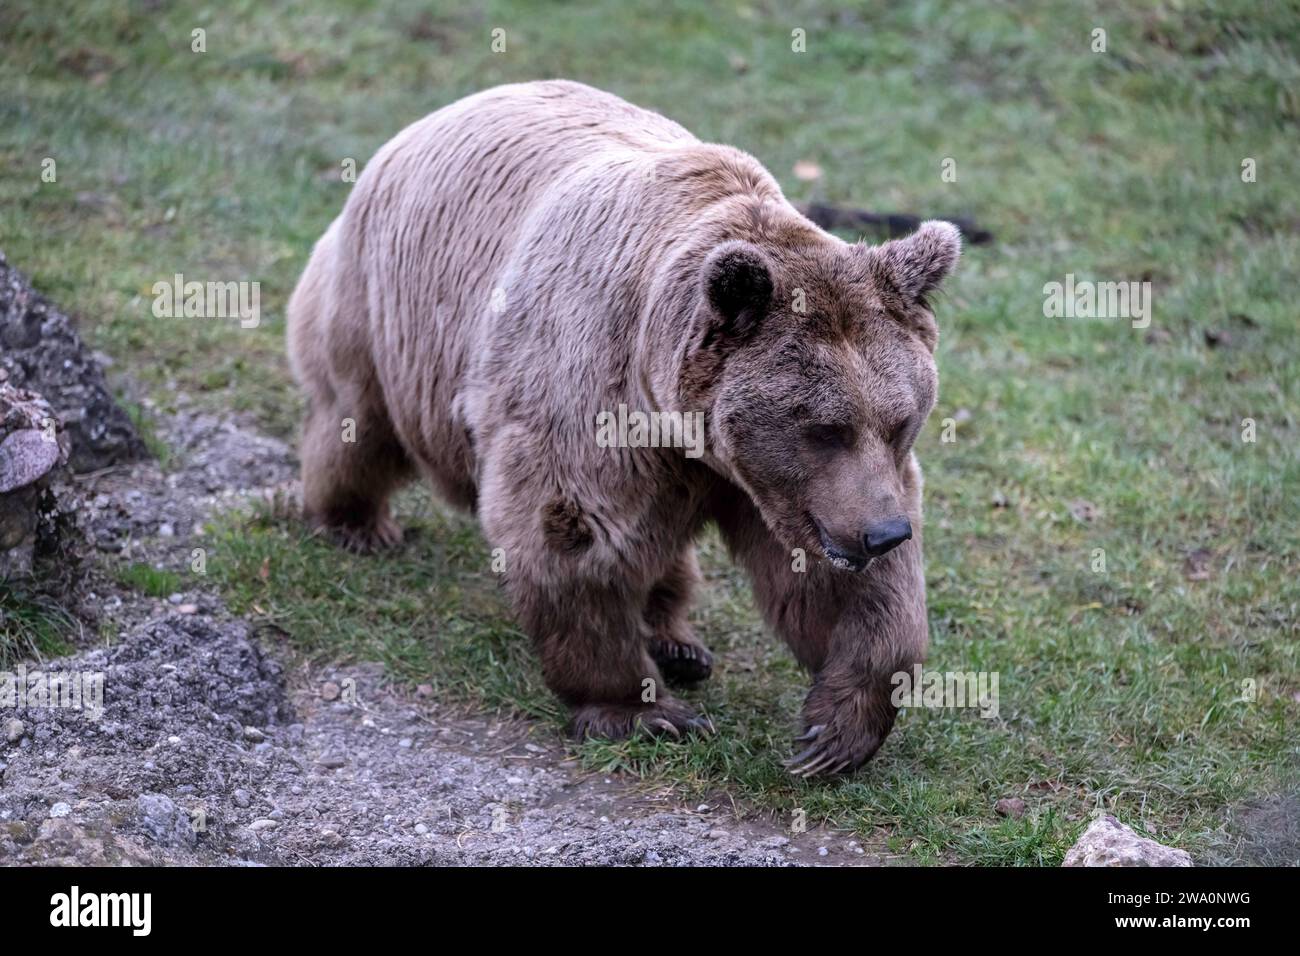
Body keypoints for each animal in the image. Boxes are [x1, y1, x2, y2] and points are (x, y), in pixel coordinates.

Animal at [286, 80, 960, 776]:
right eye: (825, 427)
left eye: (900, 421)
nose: (882, 532)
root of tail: (440, 113)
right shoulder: (590, 403)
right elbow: (575, 535)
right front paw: (641, 711)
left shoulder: (772, 484)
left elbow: (836, 581)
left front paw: (835, 729)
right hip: (385, 309)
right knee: (357, 421)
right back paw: (356, 523)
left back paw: (677, 642)